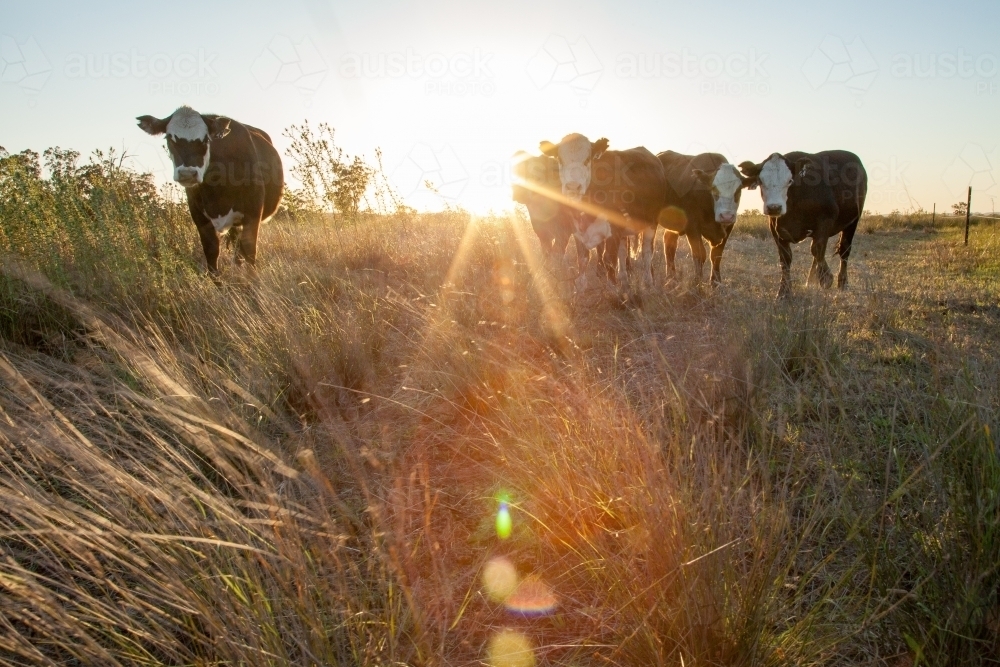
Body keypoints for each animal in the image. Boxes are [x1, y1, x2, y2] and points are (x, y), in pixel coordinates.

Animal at [136, 106, 283, 275]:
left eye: (206, 139)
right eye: (169, 138)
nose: (187, 173)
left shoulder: (253, 213)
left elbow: (250, 250)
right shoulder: (199, 216)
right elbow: (211, 251)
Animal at [539, 134, 666, 293]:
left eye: (587, 159)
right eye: (560, 159)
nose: (573, 187)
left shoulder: (614, 231)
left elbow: (609, 260)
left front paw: (613, 292)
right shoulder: (578, 230)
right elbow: (583, 259)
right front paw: (580, 290)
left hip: (651, 224)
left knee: (647, 253)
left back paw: (648, 284)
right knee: (623, 253)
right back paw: (624, 282)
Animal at [657, 151, 751, 285]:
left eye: (738, 190)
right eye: (713, 188)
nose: (726, 215)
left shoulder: (729, 227)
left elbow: (716, 255)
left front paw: (715, 282)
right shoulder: (692, 226)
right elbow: (699, 254)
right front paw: (697, 282)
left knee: (669, 243)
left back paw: (671, 277)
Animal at [739, 151, 867, 298]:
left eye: (790, 181)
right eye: (760, 181)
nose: (774, 207)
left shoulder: (826, 220)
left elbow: (817, 249)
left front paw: (826, 278)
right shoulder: (775, 228)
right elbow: (786, 258)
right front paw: (783, 292)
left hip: (853, 222)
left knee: (843, 250)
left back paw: (843, 283)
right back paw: (810, 281)